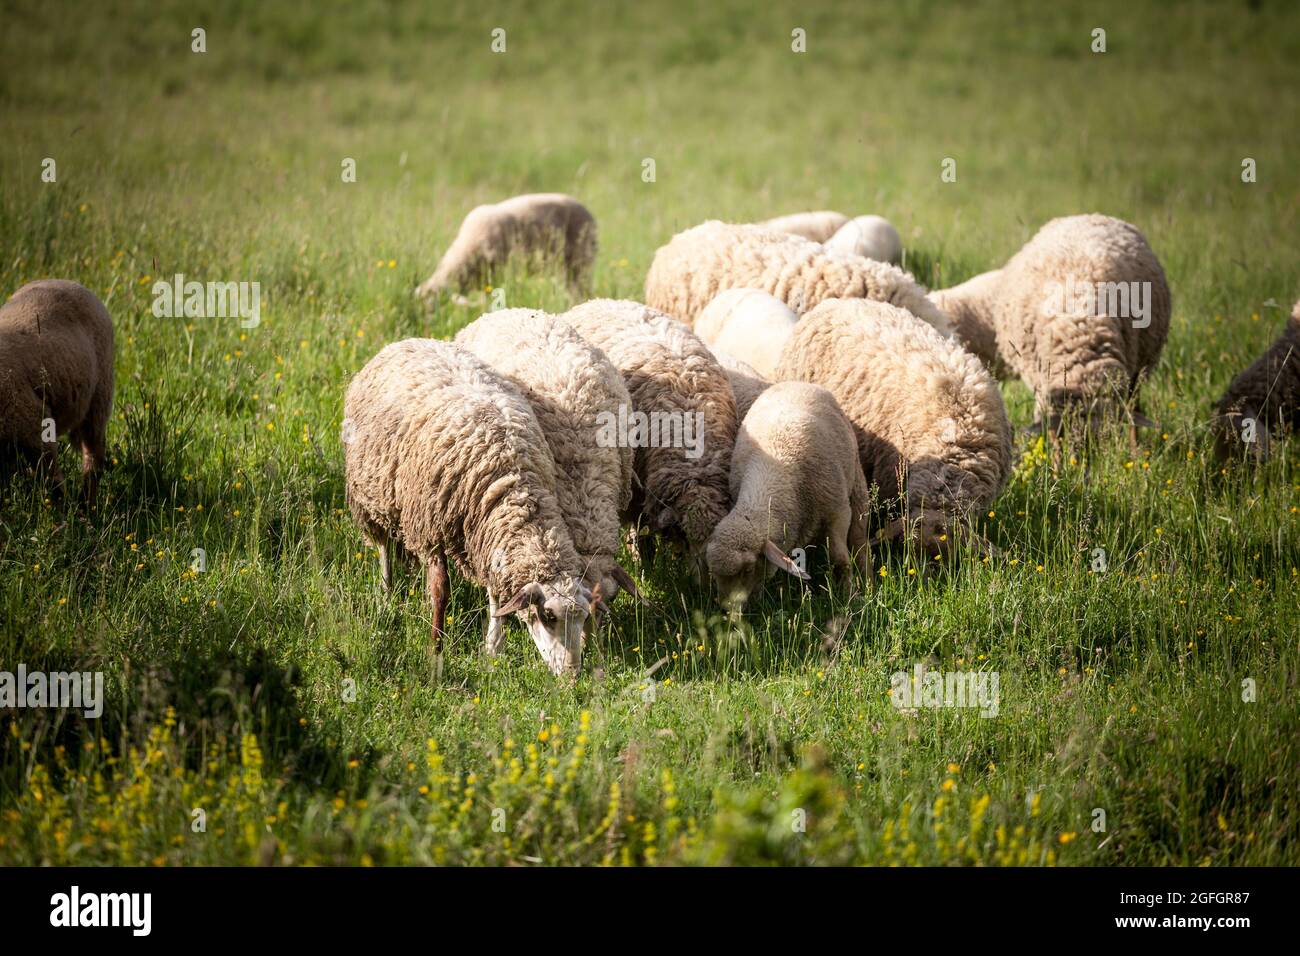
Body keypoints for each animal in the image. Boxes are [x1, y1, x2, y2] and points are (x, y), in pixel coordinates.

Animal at [0, 280, 114, 502]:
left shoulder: (32, 421)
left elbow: (52, 480)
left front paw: (60, 509)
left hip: (99, 397)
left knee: (93, 454)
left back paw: (87, 502)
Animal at [343, 338, 594, 676]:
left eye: (583, 617)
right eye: (549, 616)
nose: (572, 675)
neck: (511, 482)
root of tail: (406, 340)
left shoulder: (490, 535)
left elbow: (496, 595)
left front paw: (493, 648)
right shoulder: (429, 529)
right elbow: (440, 591)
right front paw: (436, 650)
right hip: (372, 499)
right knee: (383, 547)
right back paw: (386, 595)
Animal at [706, 381, 871, 609]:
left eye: (747, 569)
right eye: (713, 573)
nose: (727, 609)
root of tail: (795, 382)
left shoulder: (837, 513)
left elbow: (839, 558)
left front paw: (849, 597)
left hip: (856, 484)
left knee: (859, 538)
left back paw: (868, 579)